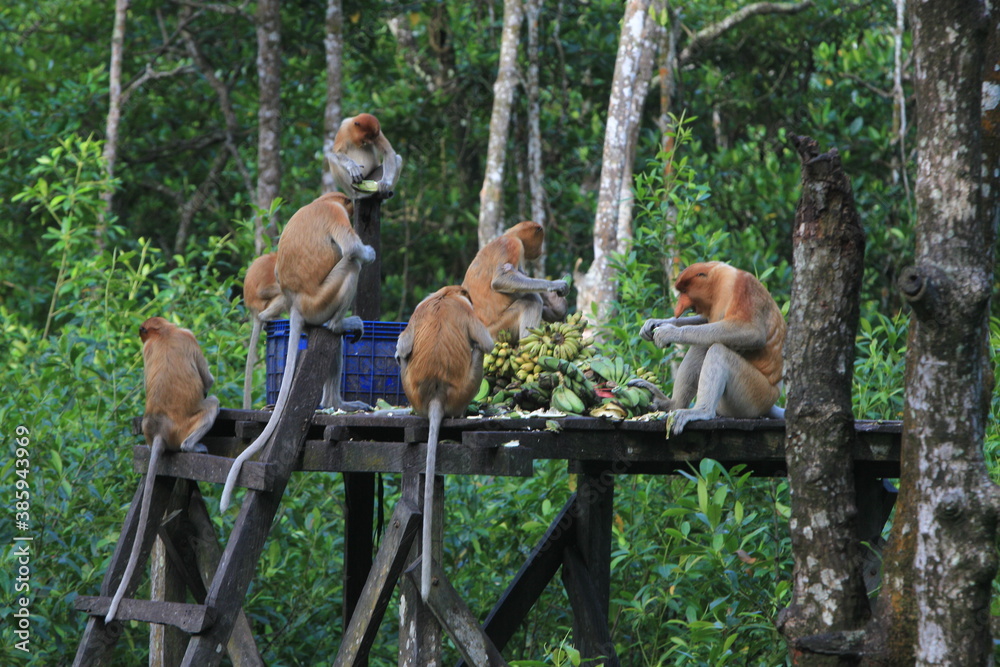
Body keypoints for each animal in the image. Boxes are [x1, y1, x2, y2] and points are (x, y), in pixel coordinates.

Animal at [106, 317, 219, 624]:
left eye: (143, 337)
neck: (164, 333)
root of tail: (159, 430)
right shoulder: (188, 336)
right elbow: (207, 380)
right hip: (188, 425)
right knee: (212, 403)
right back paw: (193, 446)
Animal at [221, 192, 375, 511]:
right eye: (348, 204)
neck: (322, 200)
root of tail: (297, 305)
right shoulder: (334, 213)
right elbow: (352, 248)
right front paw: (369, 252)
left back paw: (338, 402)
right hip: (323, 301)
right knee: (350, 263)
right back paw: (341, 322)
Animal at [394, 285, 494, 600]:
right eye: (469, 297)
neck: (446, 295)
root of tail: (436, 396)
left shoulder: (418, 307)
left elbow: (402, 347)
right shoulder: (467, 311)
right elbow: (487, 344)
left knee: (403, 357)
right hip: (468, 384)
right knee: (478, 350)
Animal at [630, 261, 785, 435]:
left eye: (685, 291)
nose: (678, 308)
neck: (719, 284)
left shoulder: (744, 288)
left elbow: (752, 332)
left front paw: (668, 332)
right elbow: (705, 320)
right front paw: (656, 323)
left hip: (755, 395)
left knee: (718, 350)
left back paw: (700, 411)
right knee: (703, 345)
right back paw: (672, 404)